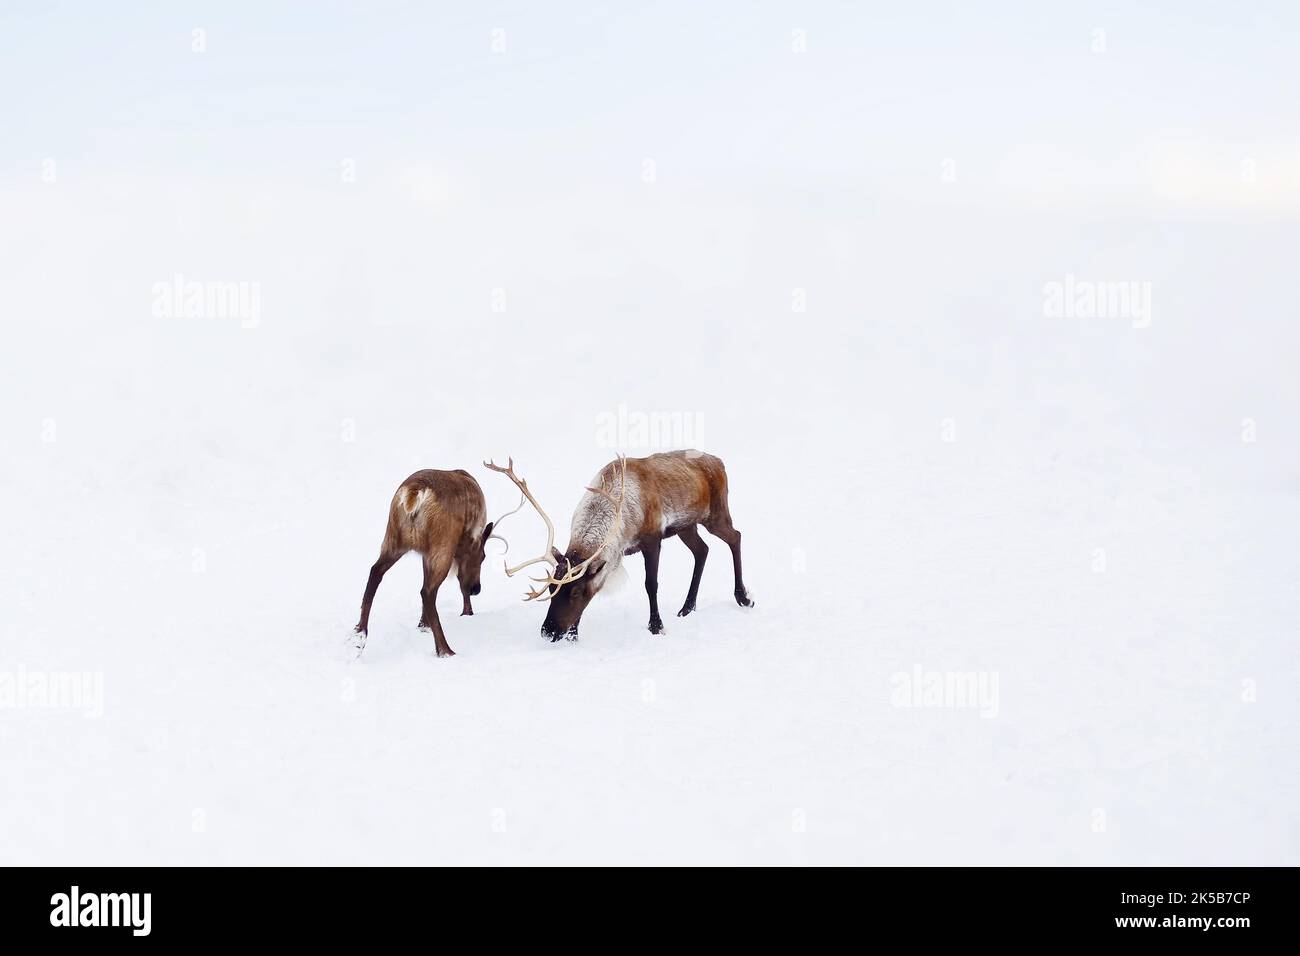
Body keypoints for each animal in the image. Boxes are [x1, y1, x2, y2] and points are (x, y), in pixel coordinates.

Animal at [354, 468, 519, 657]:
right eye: (482, 556)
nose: (476, 589)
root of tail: (414, 493)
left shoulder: (425, 554)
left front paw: (423, 625)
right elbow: (459, 583)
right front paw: (467, 612)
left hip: (393, 538)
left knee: (375, 572)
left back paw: (359, 635)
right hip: (442, 544)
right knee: (427, 591)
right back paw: (445, 650)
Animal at [483, 450, 753, 642]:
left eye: (577, 592)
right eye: (551, 588)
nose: (548, 631)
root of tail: (719, 461)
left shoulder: (652, 539)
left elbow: (651, 584)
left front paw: (656, 627)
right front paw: (573, 635)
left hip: (715, 514)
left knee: (736, 536)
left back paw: (743, 597)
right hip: (686, 527)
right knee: (703, 550)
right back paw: (687, 608)